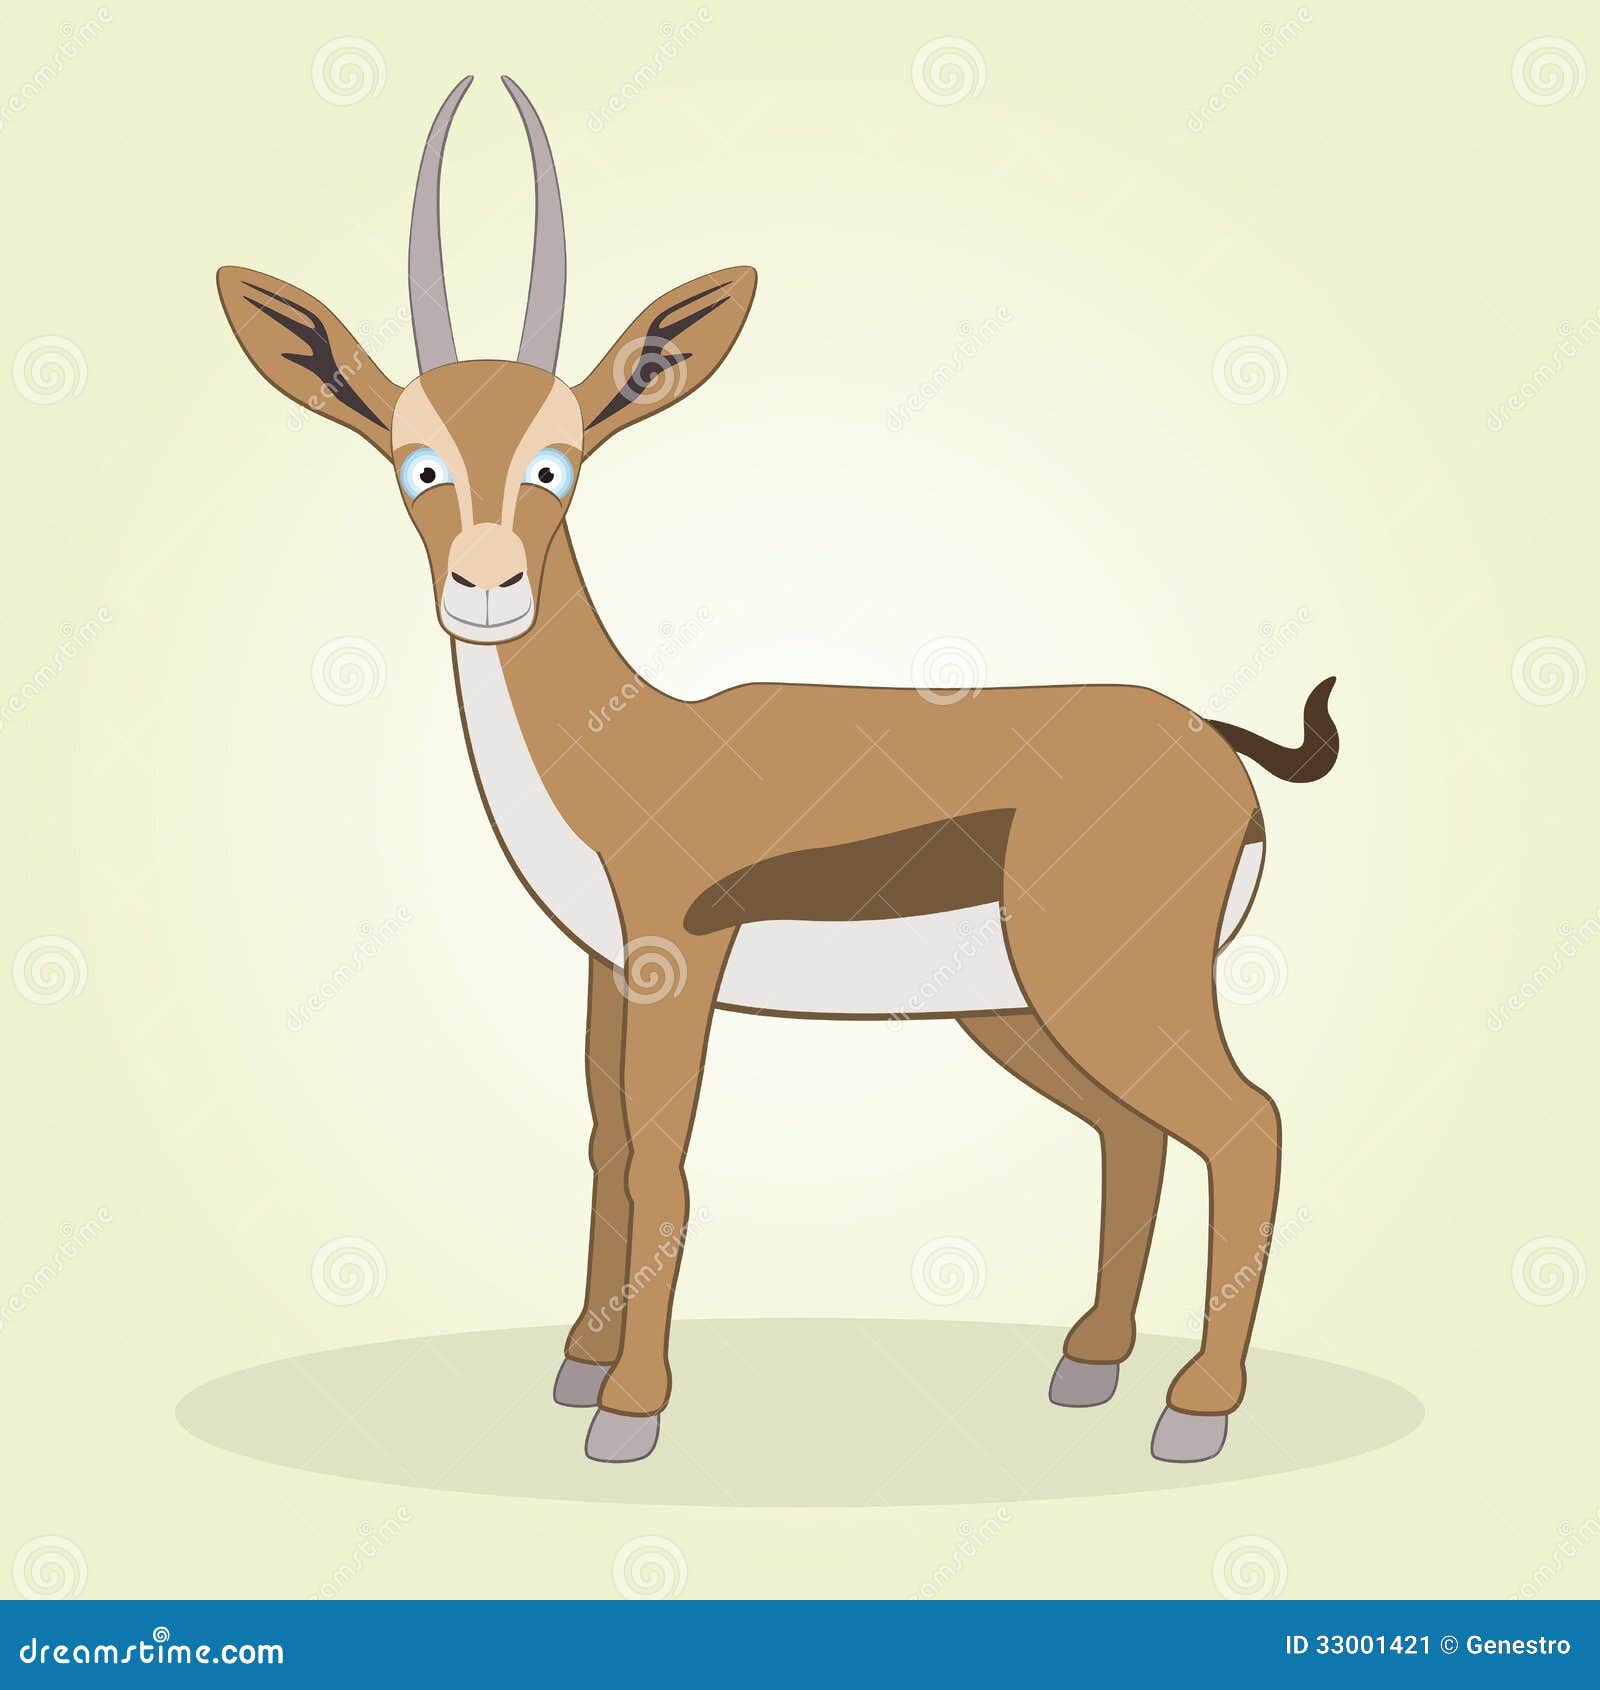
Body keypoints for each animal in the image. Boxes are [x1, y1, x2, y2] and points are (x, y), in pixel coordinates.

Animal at [219, 76, 1339, 1466]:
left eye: (557, 460)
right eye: (415, 461)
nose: (487, 586)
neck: (623, 741)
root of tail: (1215, 741)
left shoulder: (677, 960)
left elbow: (663, 1158)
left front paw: (630, 1410)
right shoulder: (608, 969)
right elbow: (605, 1143)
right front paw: (579, 1362)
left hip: (1113, 991)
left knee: (1247, 1125)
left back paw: (1195, 1408)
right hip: (1024, 1006)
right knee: (1139, 1134)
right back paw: (1090, 1365)